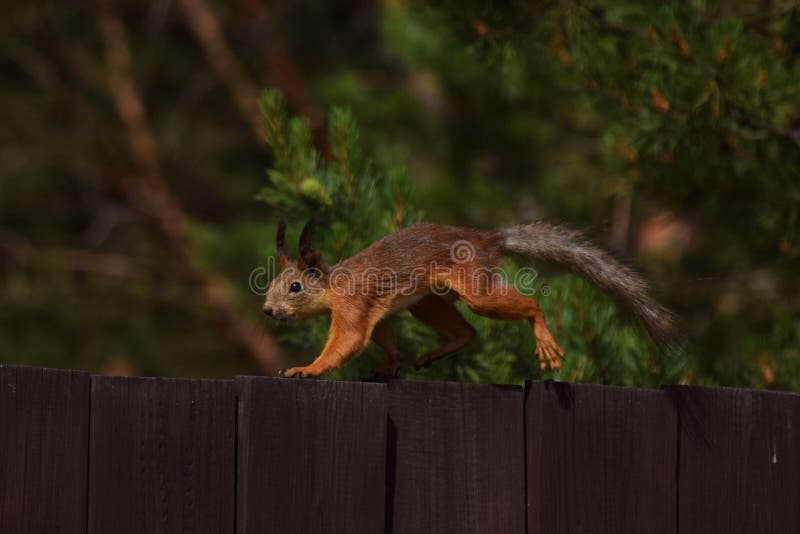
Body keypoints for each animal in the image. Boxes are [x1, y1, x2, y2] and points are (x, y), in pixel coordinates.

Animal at [262, 220, 678, 378]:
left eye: (294, 287)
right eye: (271, 284)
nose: (267, 310)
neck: (333, 284)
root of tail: (487, 239)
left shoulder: (352, 306)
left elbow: (346, 342)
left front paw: (307, 368)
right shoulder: (373, 313)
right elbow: (382, 336)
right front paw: (392, 364)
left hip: (476, 289)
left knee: (527, 307)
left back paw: (542, 334)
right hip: (425, 303)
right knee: (469, 333)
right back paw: (433, 353)